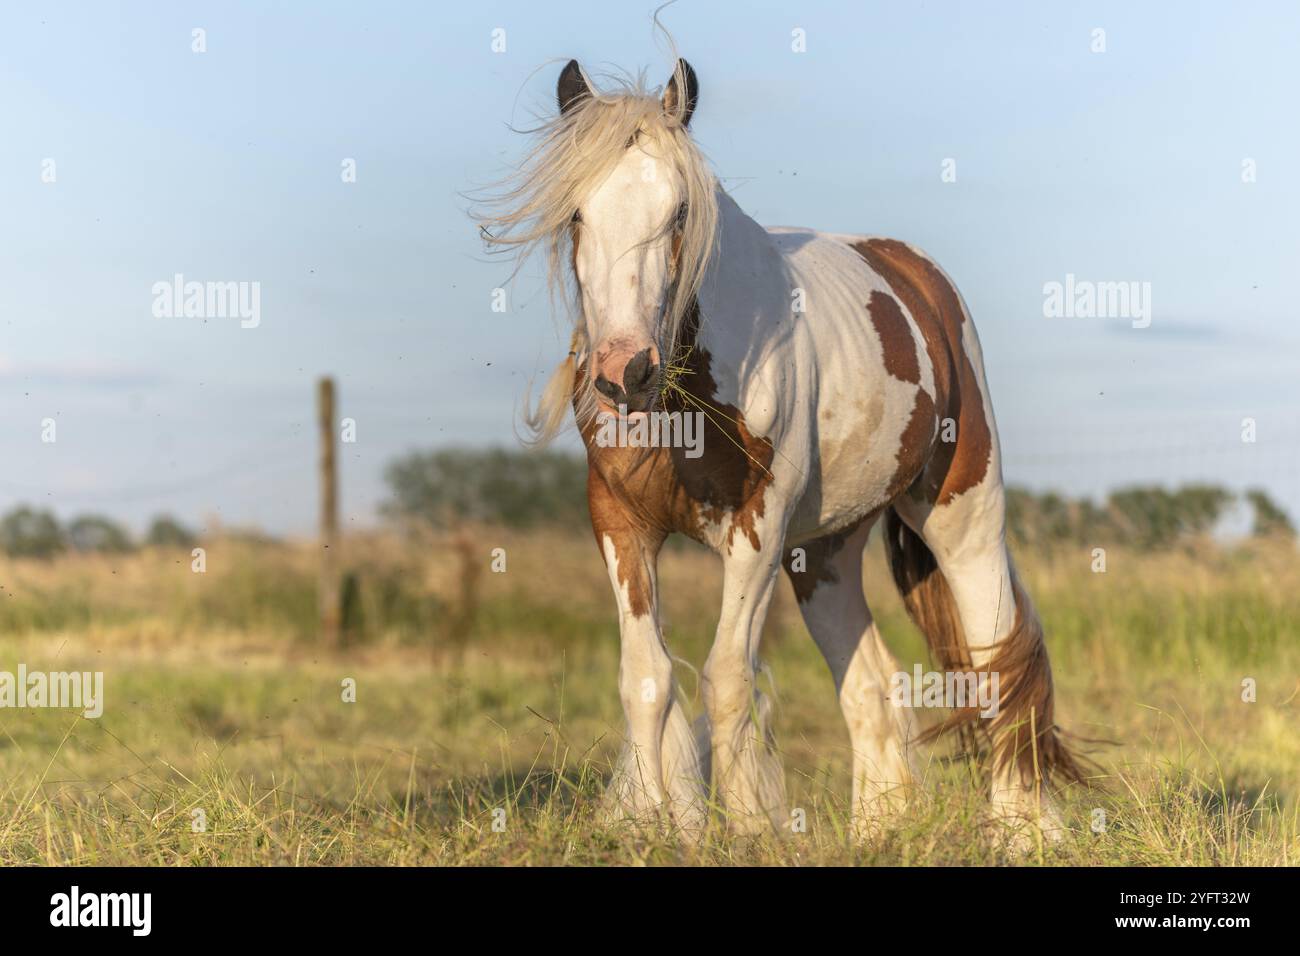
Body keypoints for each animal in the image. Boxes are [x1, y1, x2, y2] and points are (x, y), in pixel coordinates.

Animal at [480, 58, 1085, 840]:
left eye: (679, 214)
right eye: (577, 214)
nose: (623, 372)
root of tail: (920, 281)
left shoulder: (758, 531)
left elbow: (727, 679)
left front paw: (745, 829)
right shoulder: (620, 523)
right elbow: (646, 679)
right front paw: (658, 826)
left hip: (964, 517)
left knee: (996, 662)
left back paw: (1023, 829)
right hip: (826, 556)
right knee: (871, 684)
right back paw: (879, 831)